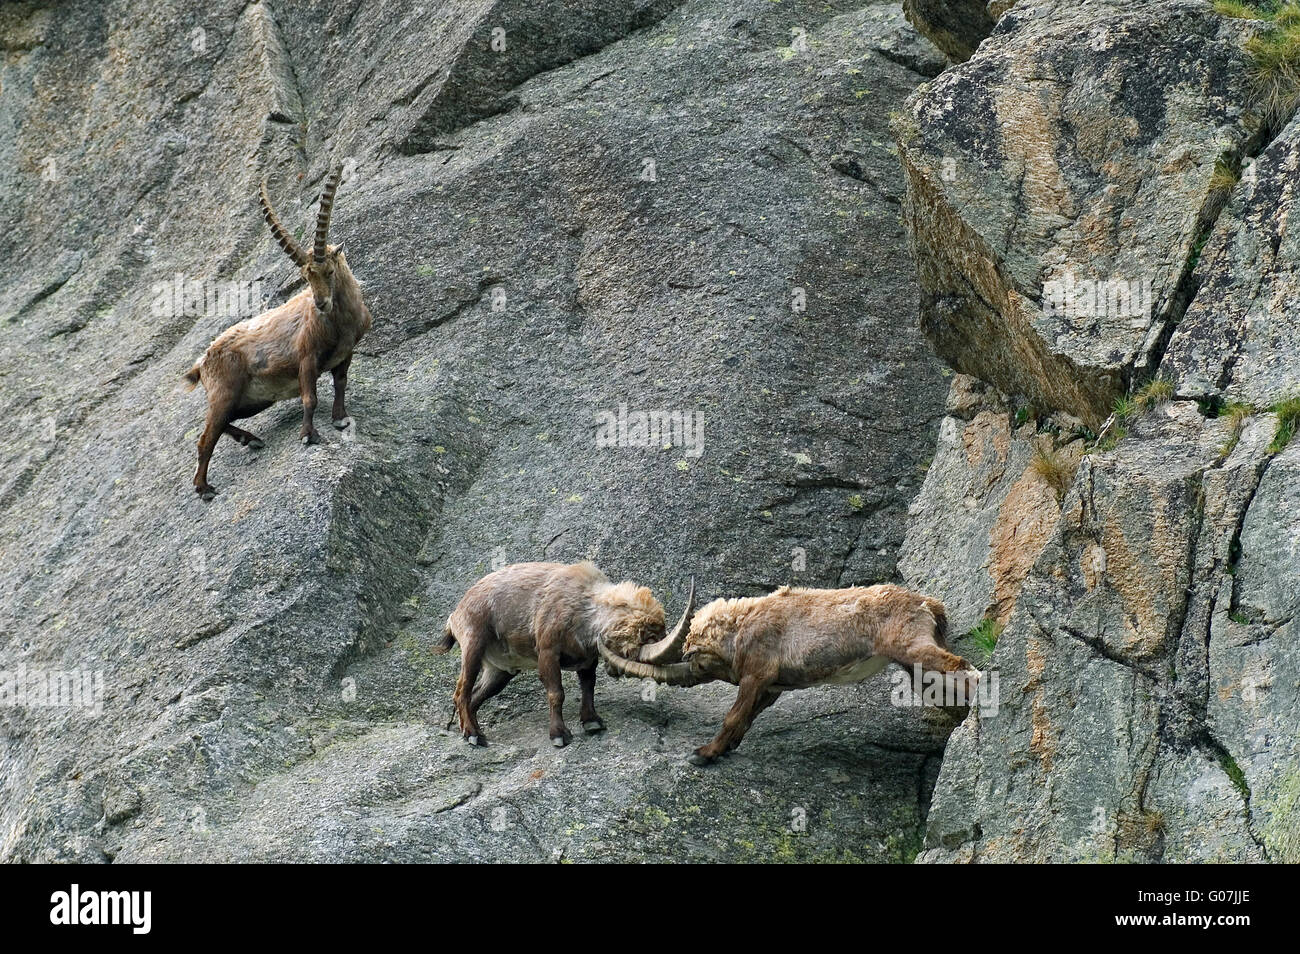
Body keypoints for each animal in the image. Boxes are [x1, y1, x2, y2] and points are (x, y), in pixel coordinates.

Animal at [182, 167, 372, 499]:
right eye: (305, 276)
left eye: (329, 271)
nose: (320, 303)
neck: (340, 321)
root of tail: (202, 361)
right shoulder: (307, 358)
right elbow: (310, 398)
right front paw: (309, 435)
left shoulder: (344, 354)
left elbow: (340, 383)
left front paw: (340, 419)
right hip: (225, 392)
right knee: (205, 437)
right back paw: (204, 488)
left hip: (249, 401)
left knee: (222, 424)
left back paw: (250, 439)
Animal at [437, 561, 695, 748]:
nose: (616, 672)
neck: (584, 607)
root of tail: (455, 614)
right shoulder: (547, 653)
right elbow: (556, 693)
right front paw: (559, 735)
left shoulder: (587, 660)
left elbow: (588, 686)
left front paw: (592, 722)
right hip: (473, 644)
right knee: (461, 691)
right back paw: (473, 735)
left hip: (500, 671)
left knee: (475, 696)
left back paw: (469, 731)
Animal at [598, 583, 978, 764]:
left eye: (699, 662)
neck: (741, 627)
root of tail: (929, 605)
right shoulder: (772, 687)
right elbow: (747, 717)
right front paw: (725, 748)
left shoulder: (757, 673)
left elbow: (734, 715)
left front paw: (705, 753)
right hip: (916, 666)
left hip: (912, 647)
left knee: (965, 669)